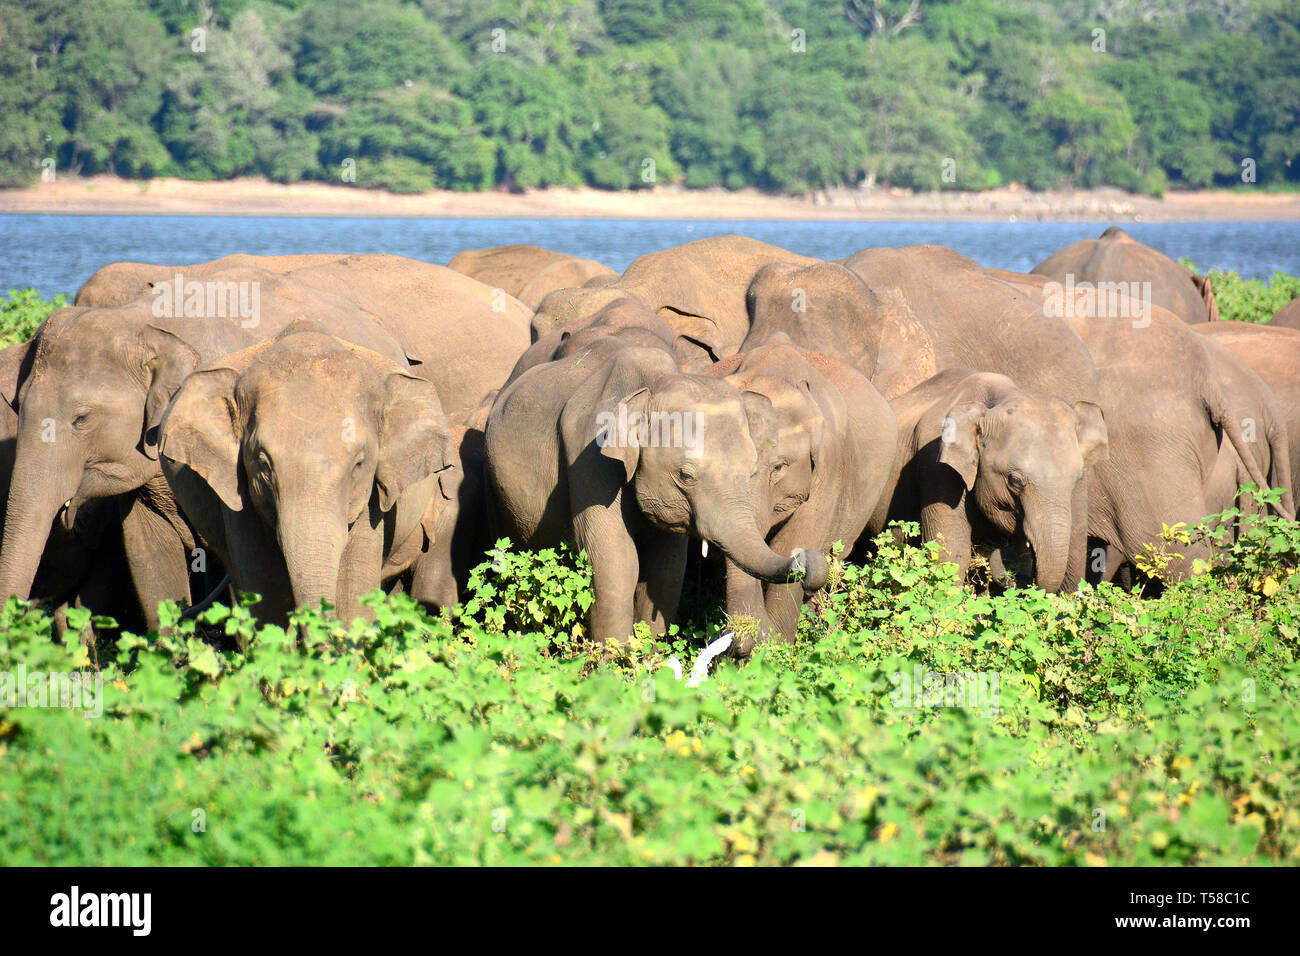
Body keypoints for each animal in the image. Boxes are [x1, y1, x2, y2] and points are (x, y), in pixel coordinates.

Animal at [158, 326, 453, 625]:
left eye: (359, 464)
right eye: (263, 463)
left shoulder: (372, 503)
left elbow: (354, 596)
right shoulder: (237, 493)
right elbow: (265, 595)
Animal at [484, 335, 829, 644]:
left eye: (752, 471)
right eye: (686, 475)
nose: (807, 559)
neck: (655, 384)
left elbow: (666, 567)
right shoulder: (588, 455)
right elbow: (614, 559)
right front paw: (614, 664)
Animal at [865, 369, 1109, 593]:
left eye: (1077, 479)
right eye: (1015, 480)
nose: (1004, 551)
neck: (995, 402)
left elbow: (1074, 561)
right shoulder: (938, 469)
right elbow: (949, 555)